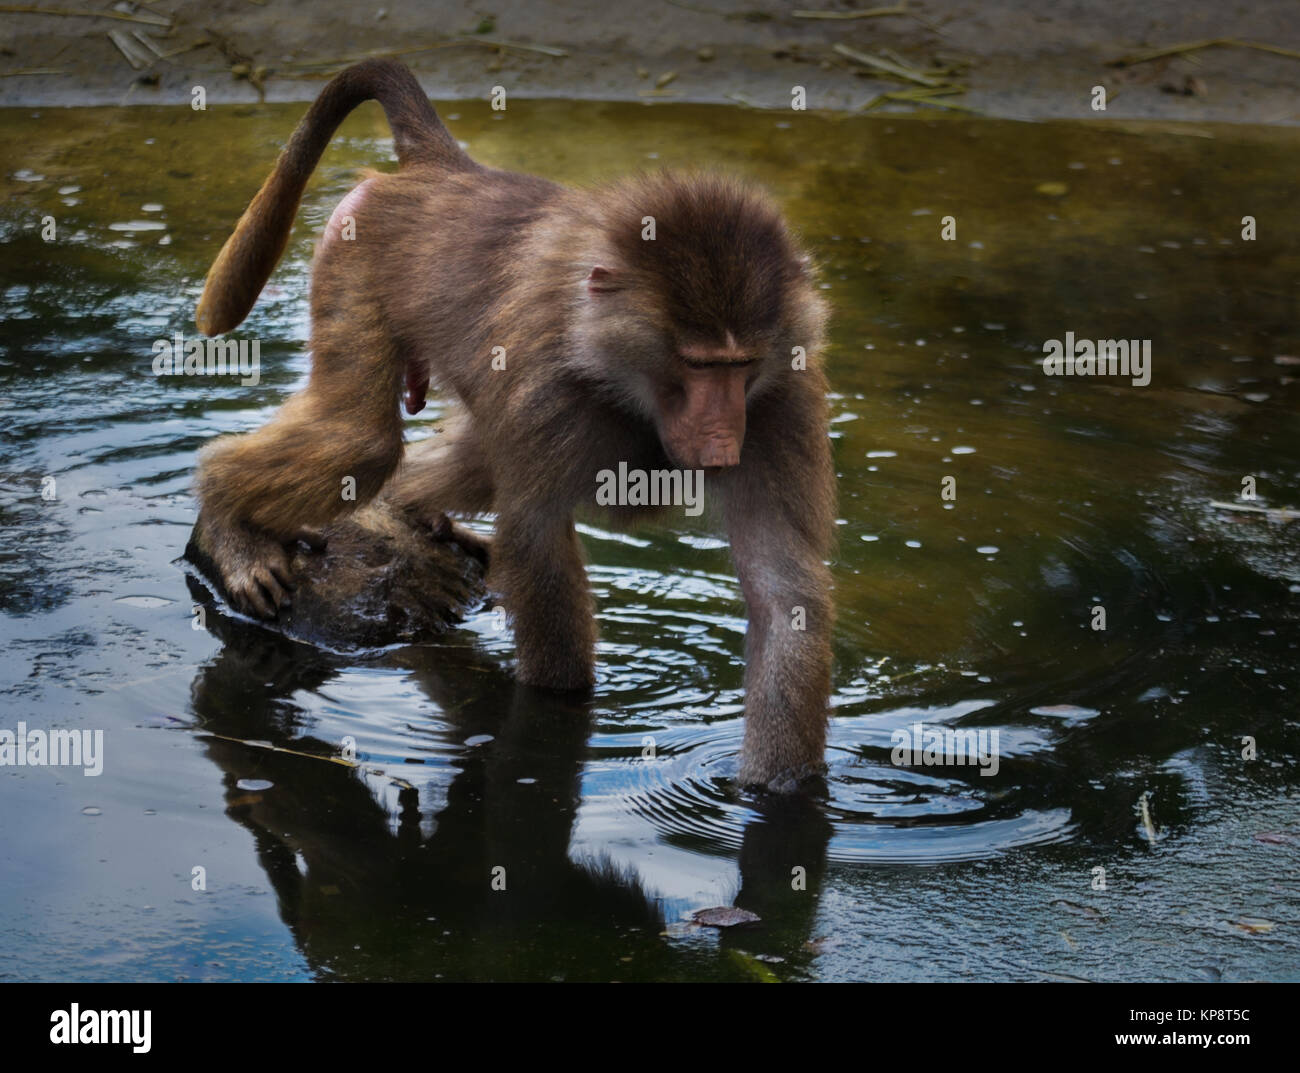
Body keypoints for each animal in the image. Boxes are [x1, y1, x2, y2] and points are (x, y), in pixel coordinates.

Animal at [192, 59, 835, 792]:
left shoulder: (782, 397)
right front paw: (559, 721)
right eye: (697, 364)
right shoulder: (548, 383)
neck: (617, 367)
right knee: (361, 440)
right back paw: (226, 519)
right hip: (354, 255)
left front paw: (776, 794)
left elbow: (783, 590)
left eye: (742, 364)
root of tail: (446, 170)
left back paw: (409, 515)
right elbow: (536, 540)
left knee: (454, 460)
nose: (725, 440)